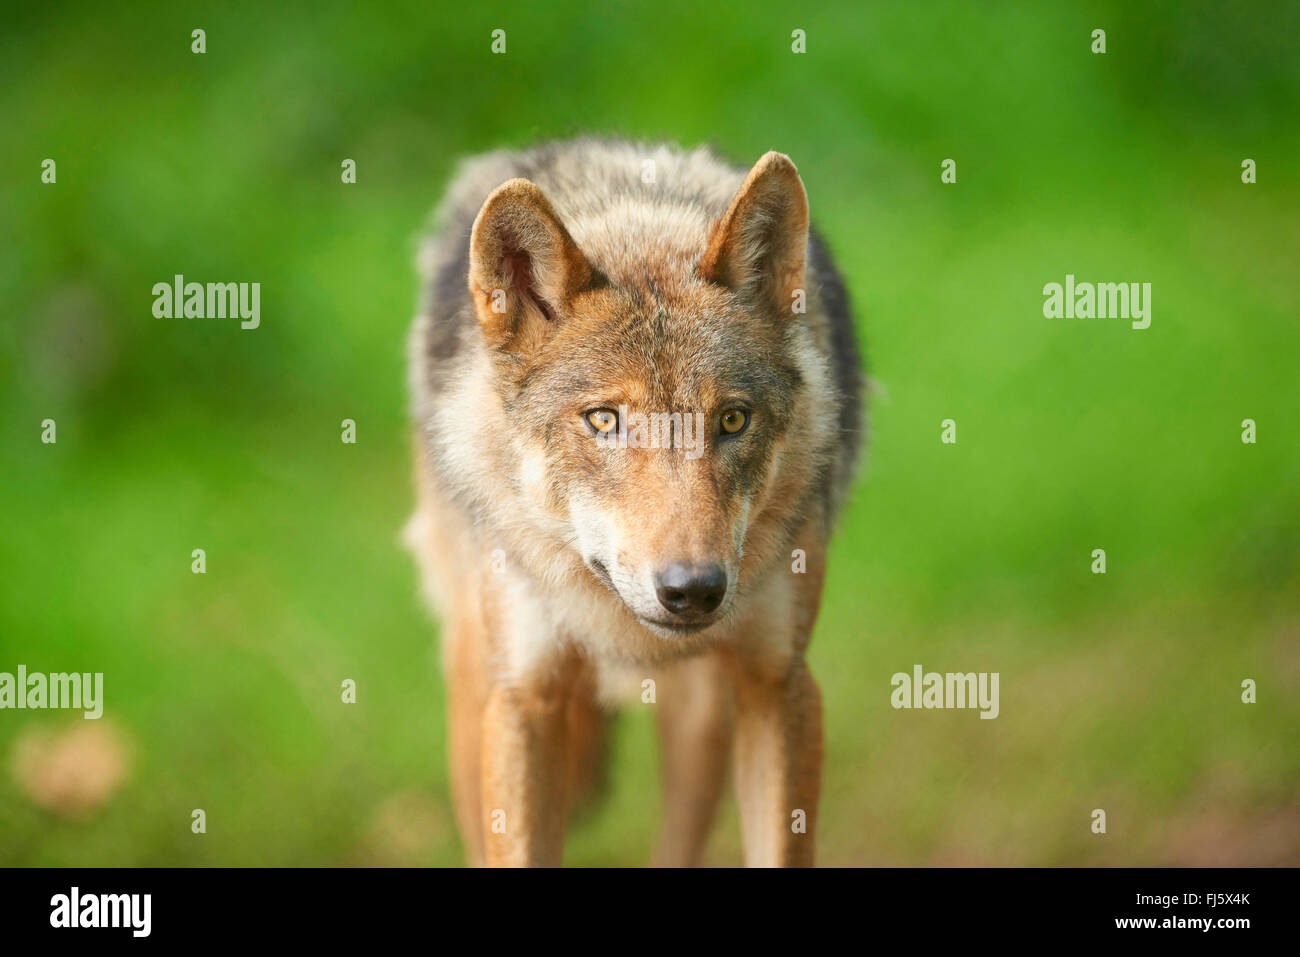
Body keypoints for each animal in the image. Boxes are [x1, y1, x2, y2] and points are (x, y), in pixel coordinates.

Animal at [405, 138, 863, 866]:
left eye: (732, 420)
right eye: (603, 420)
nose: (693, 590)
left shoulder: (779, 685)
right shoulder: (526, 697)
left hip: (703, 716)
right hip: (474, 691)